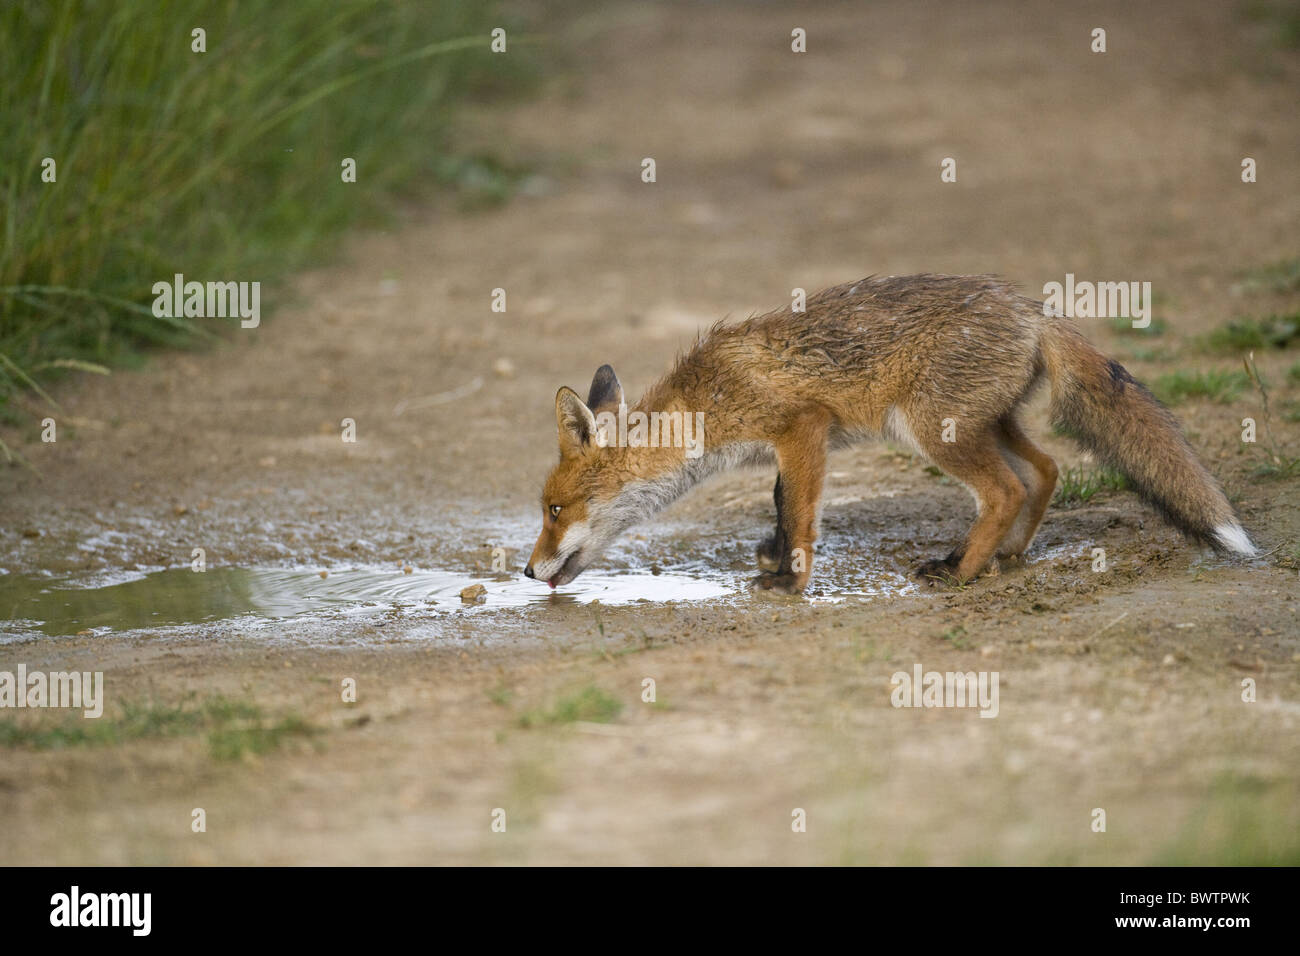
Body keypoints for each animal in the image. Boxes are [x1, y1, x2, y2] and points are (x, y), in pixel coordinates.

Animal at [524, 274, 1256, 593]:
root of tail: (1032, 310)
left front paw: (789, 584)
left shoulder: (802, 428)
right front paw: (774, 559)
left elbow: (801, 514)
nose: (527, 571)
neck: (705, 402)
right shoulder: (787, 447)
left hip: (933, 431)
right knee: (1044, 471)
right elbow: (780, 506)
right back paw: (1004, 556)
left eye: (555, 510)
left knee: (1006, 491)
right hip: (988, 423)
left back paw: (962, 571)